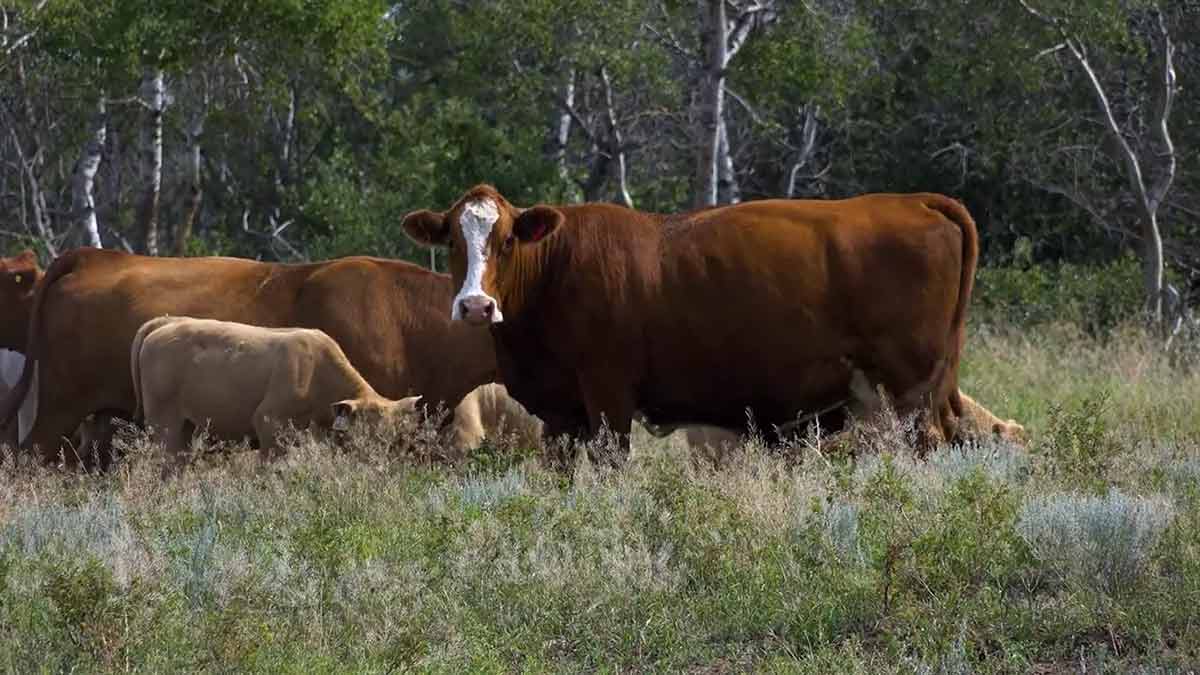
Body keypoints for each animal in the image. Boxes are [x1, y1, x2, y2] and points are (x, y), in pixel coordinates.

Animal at [131, 316, 421, 474]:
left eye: (390, 439)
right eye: (360, 437)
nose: (376, 466)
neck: (317, 374)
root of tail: (166, 323)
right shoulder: (269, 422)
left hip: (187, 427)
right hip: (165, 423)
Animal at [401, 185, 978, 463]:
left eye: (506, 241)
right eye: (453, 242)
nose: (476, 306)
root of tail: (914, 200)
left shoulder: (608, 395)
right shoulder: (560, 414)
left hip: (908, 389)